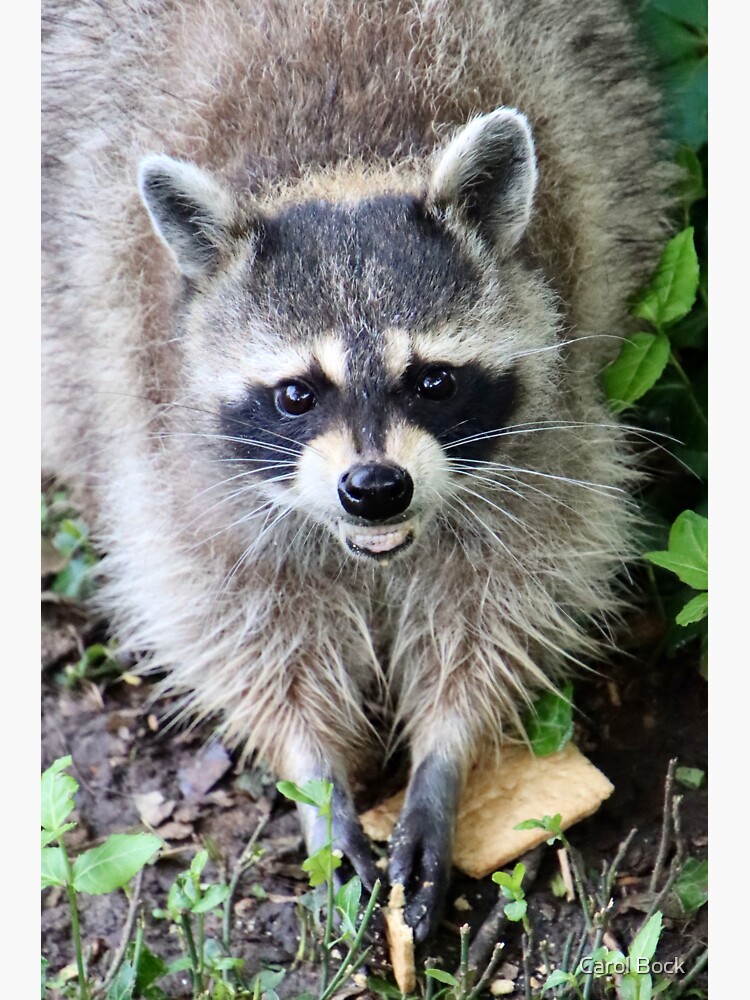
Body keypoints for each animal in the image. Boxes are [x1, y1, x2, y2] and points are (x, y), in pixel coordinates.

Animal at [42, 0, 672, 940]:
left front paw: (445, 751)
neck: (340, 167)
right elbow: (232, 619)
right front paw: (314, 771)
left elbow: (509, 591)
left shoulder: (550, 433)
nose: (375, 490)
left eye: (433, 381)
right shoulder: (172, 450)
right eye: (297, 394)